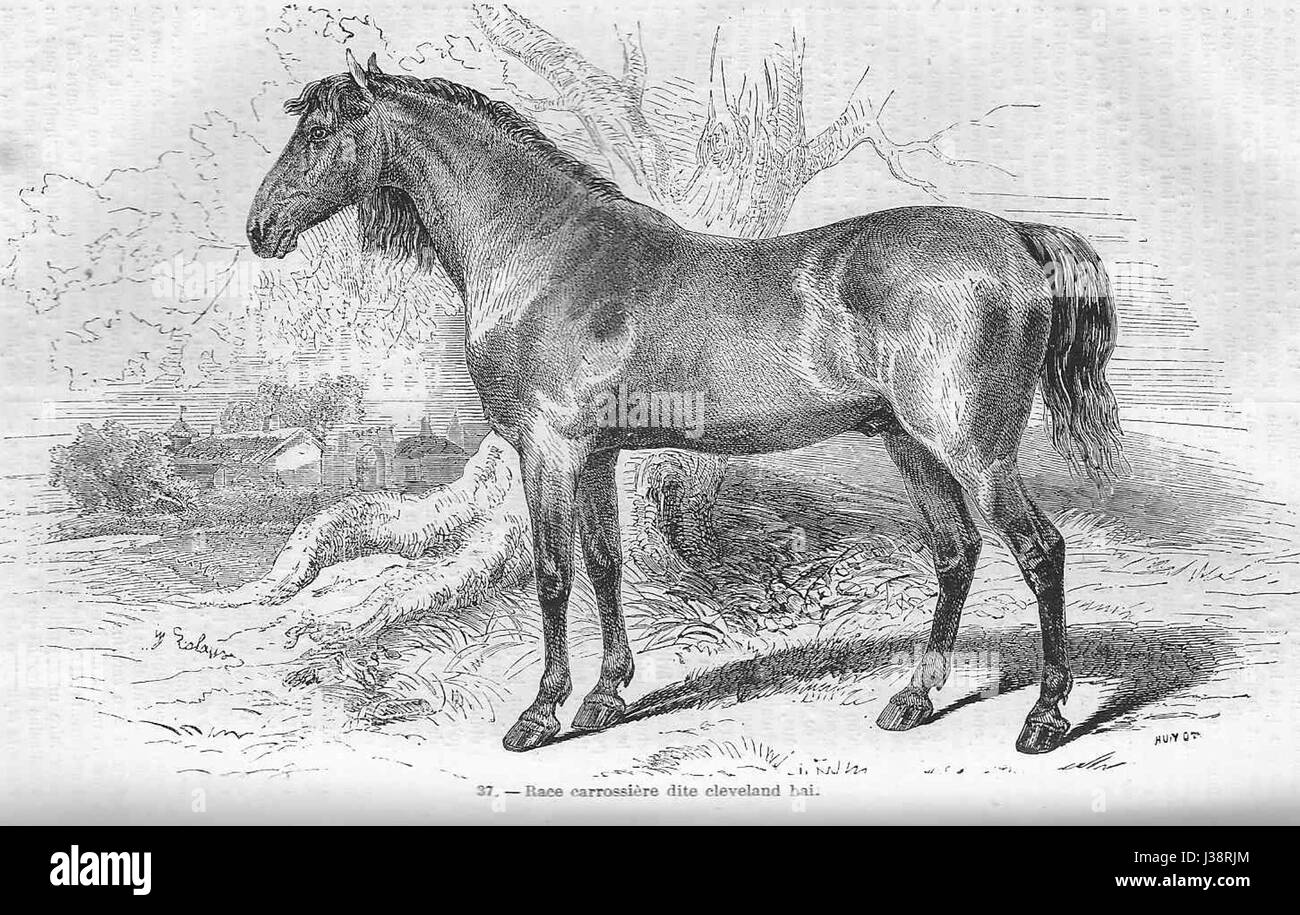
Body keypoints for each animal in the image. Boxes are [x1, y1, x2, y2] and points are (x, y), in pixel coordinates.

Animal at [247, 51, 1125, 755]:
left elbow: (554, 574)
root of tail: (1015, 237)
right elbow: (604, 562)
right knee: (956, 552)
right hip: (909, 443)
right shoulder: (596, 452)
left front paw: (539, 713)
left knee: (1039, 551)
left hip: (975, 452)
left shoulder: (549, 449)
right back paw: (911, 698)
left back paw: (1046, 717)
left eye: (320, 132)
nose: (260, 228)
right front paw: (606, 695)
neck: (541, 251)